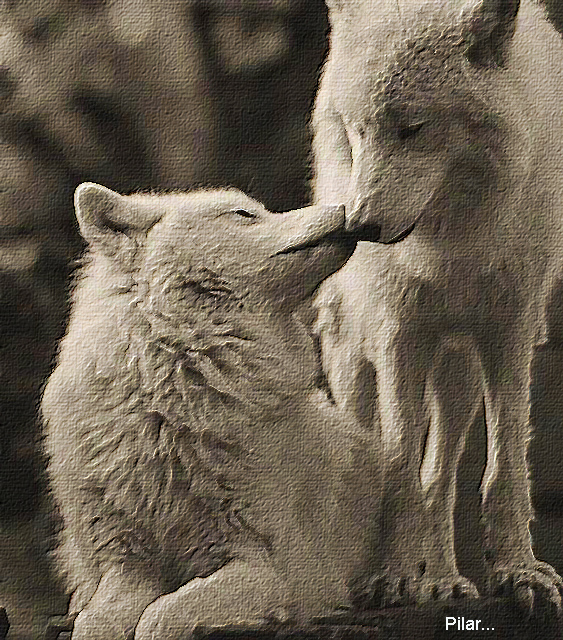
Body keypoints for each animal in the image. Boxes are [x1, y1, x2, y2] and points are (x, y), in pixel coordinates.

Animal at [42, 183, 379, 639]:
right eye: (243, 214)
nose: (345, 208)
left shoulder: (268, 569)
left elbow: (161, 617)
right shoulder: (126, 563)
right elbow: (96, 623)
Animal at [313, 0, 563, 610]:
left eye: (413, 129)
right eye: (358, 130)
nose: (359, 226)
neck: (452, 245)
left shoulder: (508, 331)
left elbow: (503, 467)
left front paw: (517, 570)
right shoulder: (399, 335)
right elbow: (397, 462)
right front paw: (394, 575)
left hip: (459, 368)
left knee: (441, 470)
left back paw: (444, 578)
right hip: (354, 353)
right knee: (371, 444)